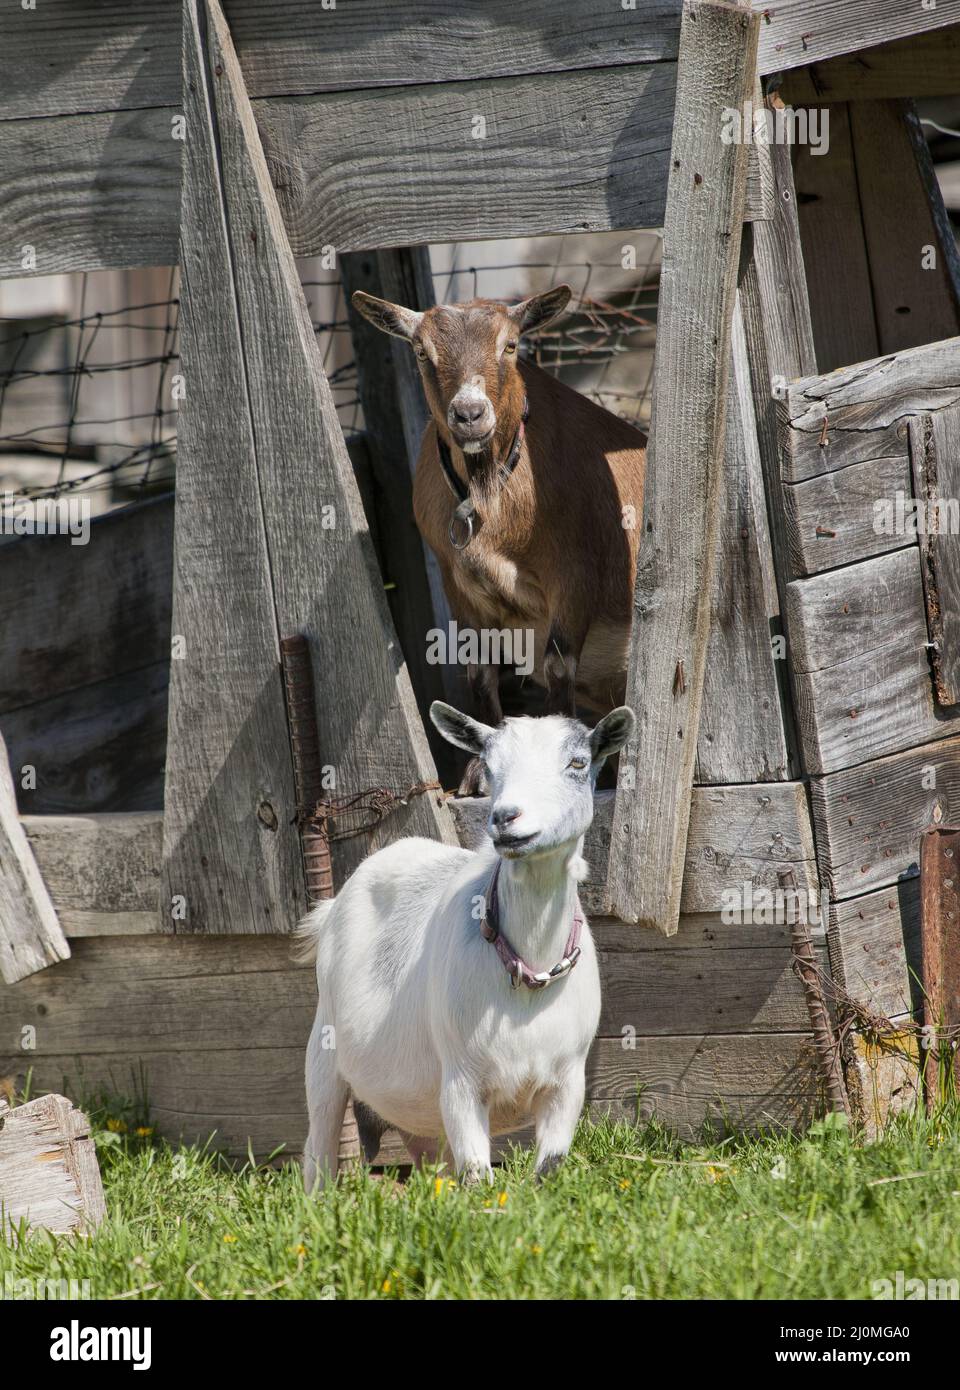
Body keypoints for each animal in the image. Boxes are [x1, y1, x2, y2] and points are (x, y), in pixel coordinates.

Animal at [298, 699, 635, 1189]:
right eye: (490, 768)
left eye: (577, 762)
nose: (506, 817)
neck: (529, 971)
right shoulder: (461, 1082)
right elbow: (478, 1177)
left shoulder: (567, 1084)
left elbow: (547, 1171)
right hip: (324, 1051)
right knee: (317, 1151)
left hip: (419, 1110)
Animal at [351, 285, 646, 792]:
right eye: (421, 352)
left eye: (510, 346)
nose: (469, 415)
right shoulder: (459, 585)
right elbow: (478, 670)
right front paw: (479, 773)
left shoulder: (575, 575)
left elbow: (557, 666)